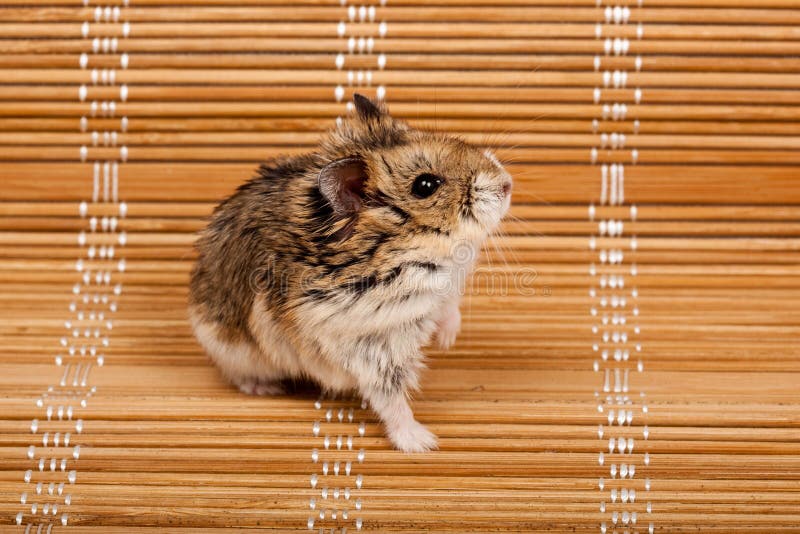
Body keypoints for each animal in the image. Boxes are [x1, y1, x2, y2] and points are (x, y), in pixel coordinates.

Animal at [188, 94, 512, 452]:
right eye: (426, 185)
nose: (507, 184)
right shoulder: (371, 347)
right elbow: (390, 398)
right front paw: (422, 442)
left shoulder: (444, 292)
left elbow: (449, 307)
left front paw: (446, 340)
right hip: (228, 348)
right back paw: (266, 388)